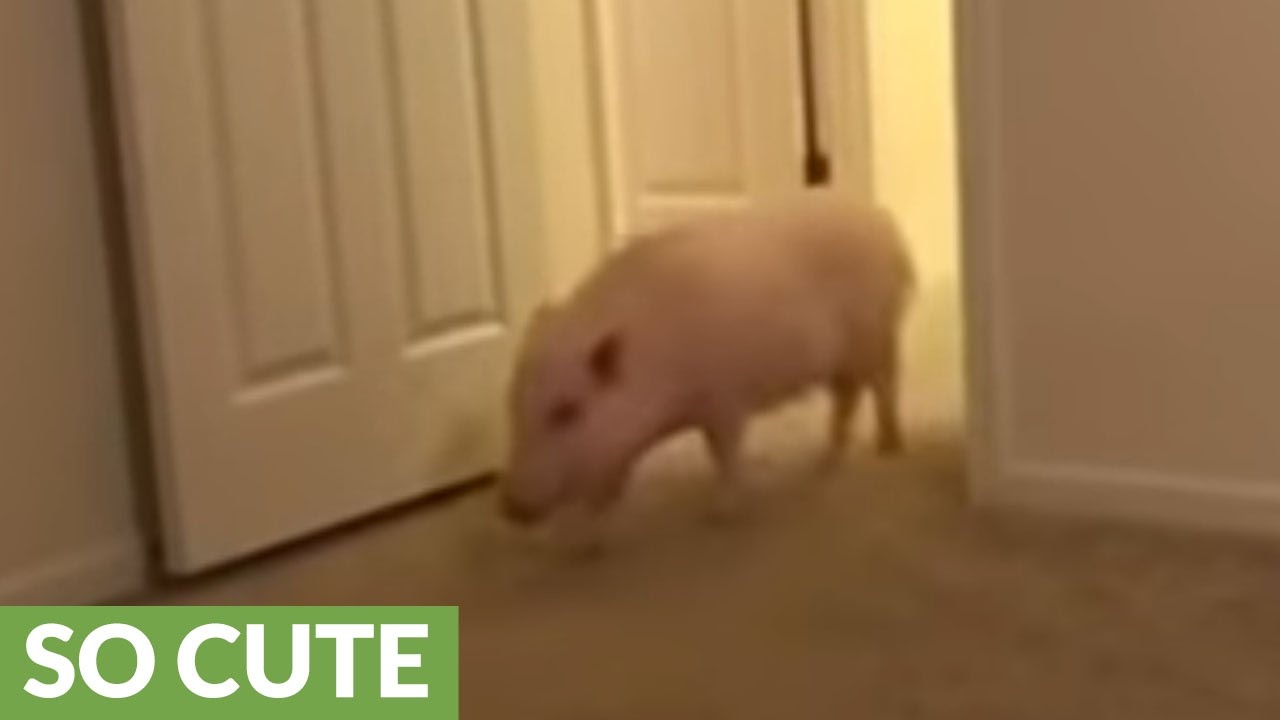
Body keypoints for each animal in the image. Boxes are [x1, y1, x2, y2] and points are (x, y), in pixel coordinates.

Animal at [500, 192, 916, 528]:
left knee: (885, 384)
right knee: (848, 395)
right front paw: (585, 543)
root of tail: (887, 224)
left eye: (566, 410)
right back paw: (826, 460)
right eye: (512, 406)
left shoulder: (725, 398)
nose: (510, 509)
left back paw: (890, 447)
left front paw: (719, 515)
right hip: (842, 360)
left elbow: (723, 453)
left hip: (879, 332)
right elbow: (613, 475)